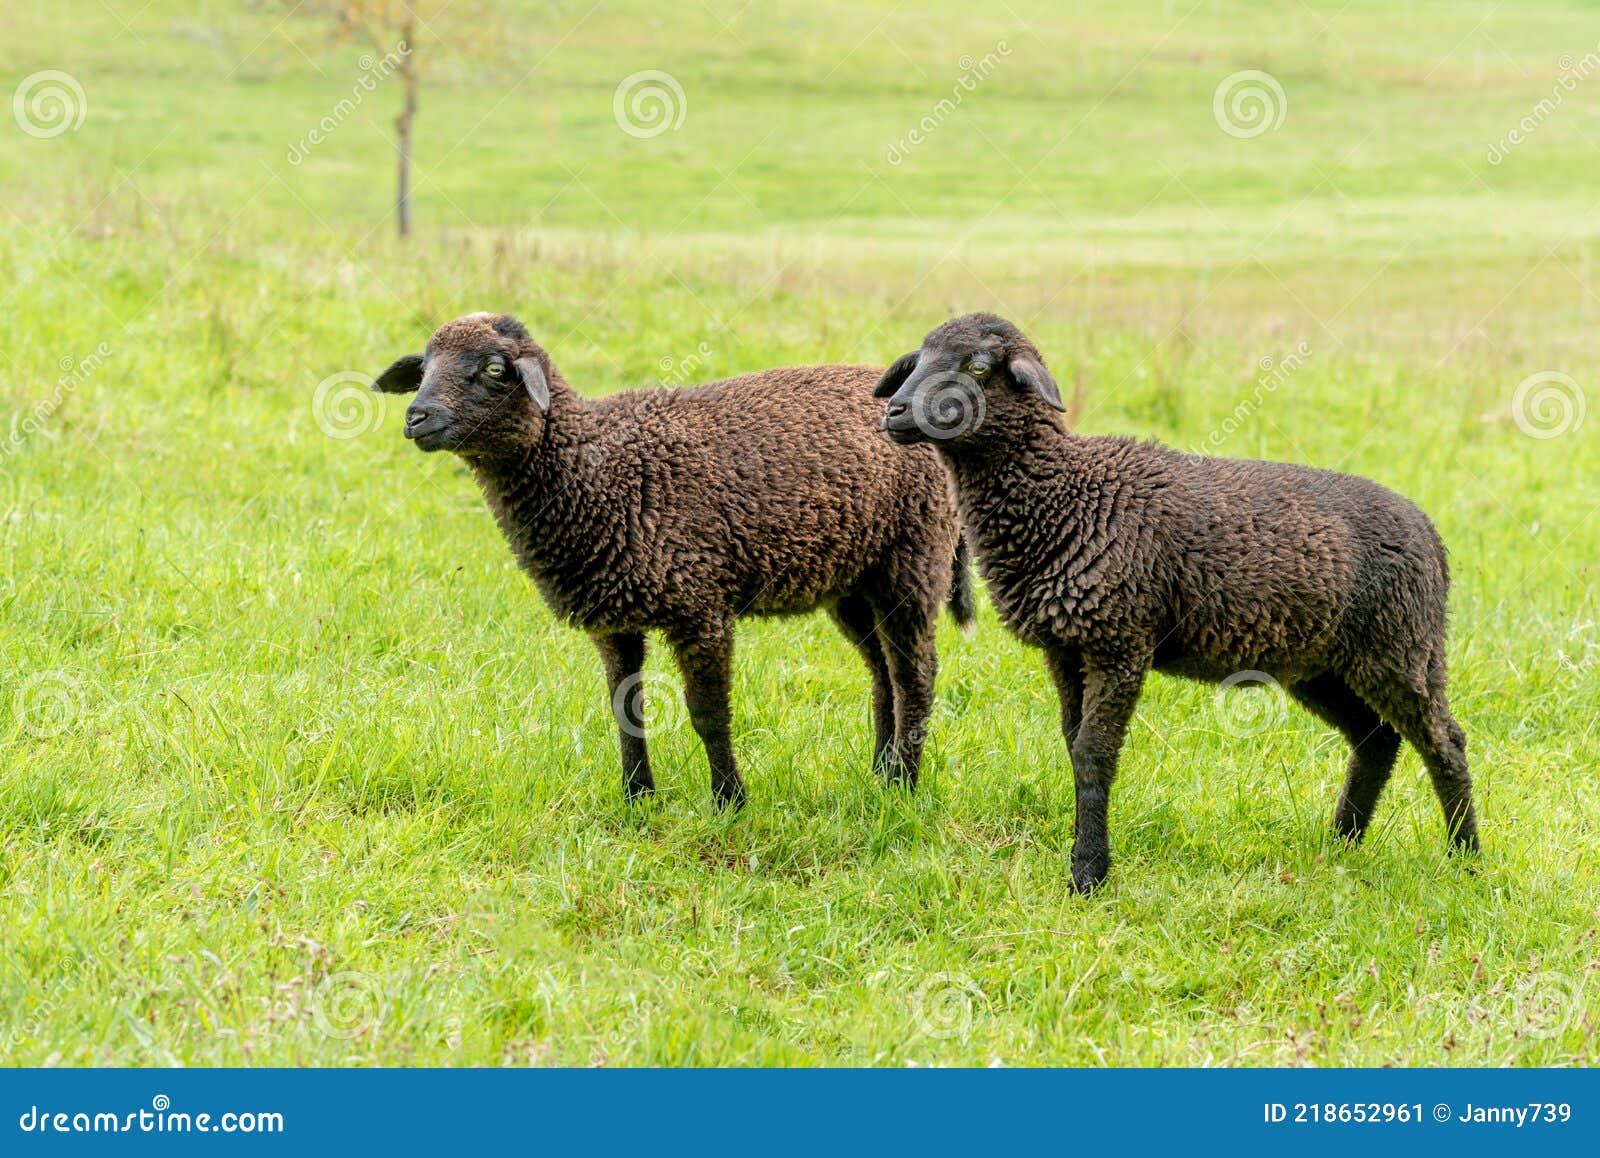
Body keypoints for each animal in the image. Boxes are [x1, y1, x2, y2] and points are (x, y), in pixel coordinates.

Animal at [373, 312, 971, 807]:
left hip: (912, 559)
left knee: (915, 677)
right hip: (852, 581)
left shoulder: (699, 606)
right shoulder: (614, 619)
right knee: (883, 676)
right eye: (423, 367)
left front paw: (730, 801)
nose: (416, 417)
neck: (595, 468)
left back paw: (903, 785)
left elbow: (708, 714)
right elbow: (625, 710)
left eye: (494, 369)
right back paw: (880, 773)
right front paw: (638, 797)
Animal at [875, 312, 1478, 893]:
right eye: (918, 359)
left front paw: (1088, 875)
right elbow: (1072, 745)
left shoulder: (1120, 642)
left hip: (1399, 651)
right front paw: (1082, 858)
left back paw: (1467, 858)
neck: (1066, 494)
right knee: (1375, 738)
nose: (895, 412)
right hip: (1324, 666)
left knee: (1444, 740)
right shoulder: (1066, 648)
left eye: (978, 367)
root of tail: (1432, 535)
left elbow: (1094, 753)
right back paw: (1342, 843)